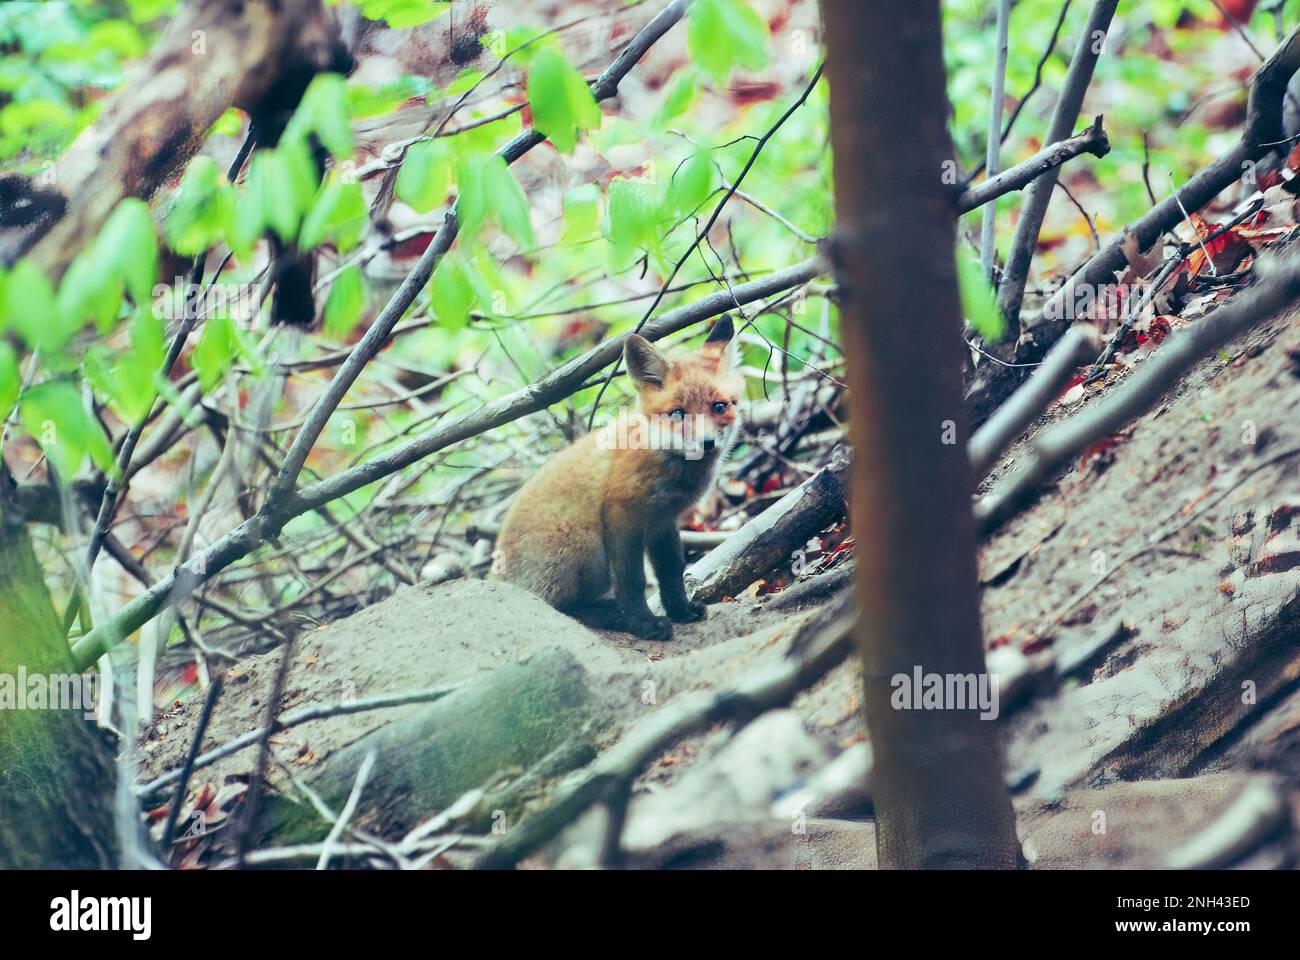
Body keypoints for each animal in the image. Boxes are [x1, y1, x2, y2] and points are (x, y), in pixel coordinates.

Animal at [492, 315, 742, 640]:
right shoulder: (622, 515)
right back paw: (613, 616)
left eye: (719, 406)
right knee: (562, 609)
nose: (707, 443)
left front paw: (681, 611)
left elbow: (672, 571)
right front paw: (643, 624)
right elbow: (632, 580)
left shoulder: (662, 521)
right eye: (677, 414)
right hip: (587, 546)